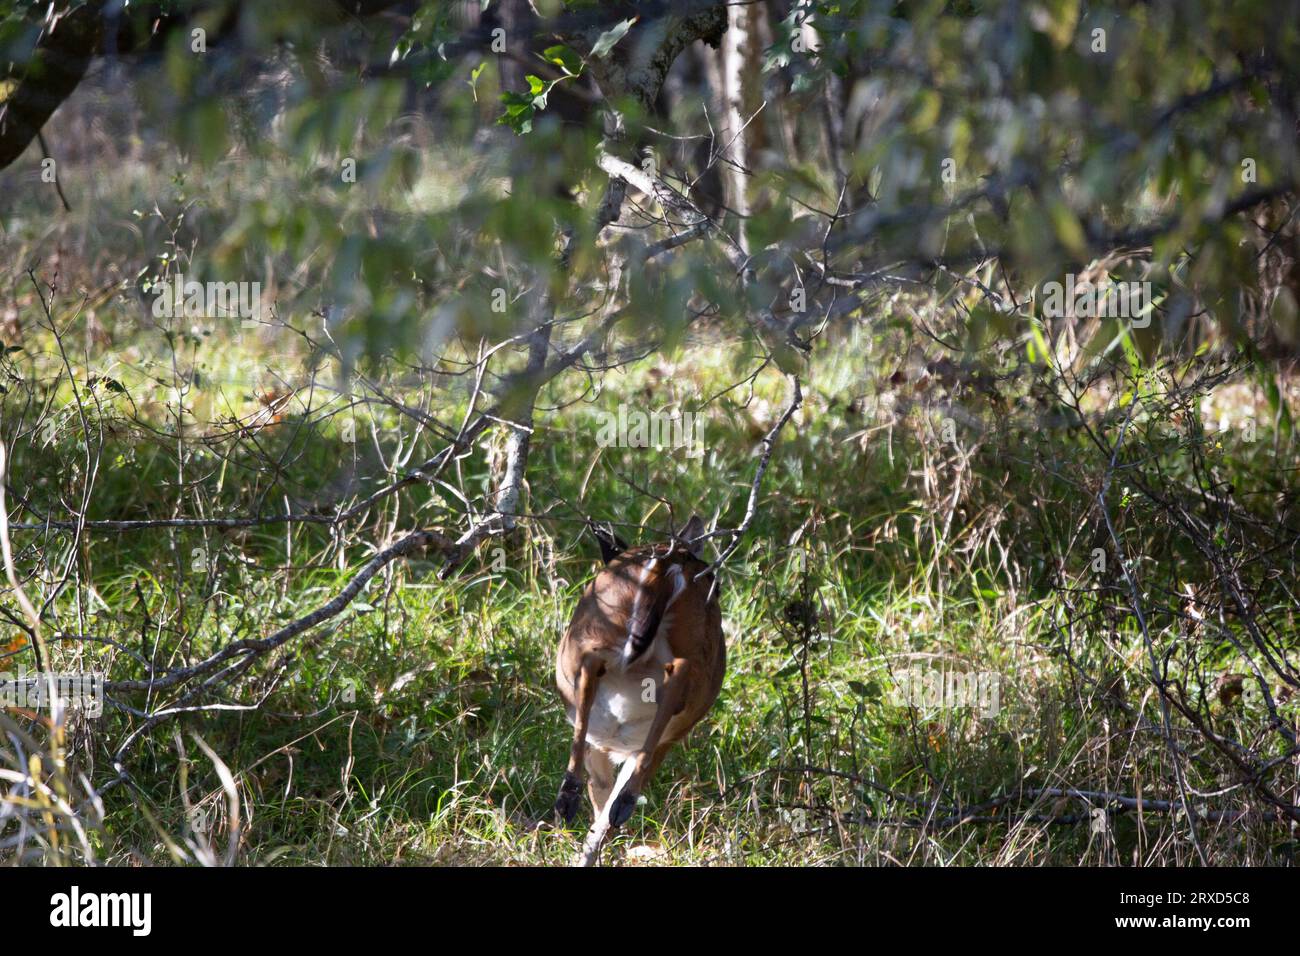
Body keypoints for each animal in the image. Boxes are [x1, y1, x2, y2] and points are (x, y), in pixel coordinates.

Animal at [553, 515, 725, 866]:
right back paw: (600, 800)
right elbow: (602, 807)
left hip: (592, 632)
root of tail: (669, 562)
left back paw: (576, 799)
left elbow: (601, 806)